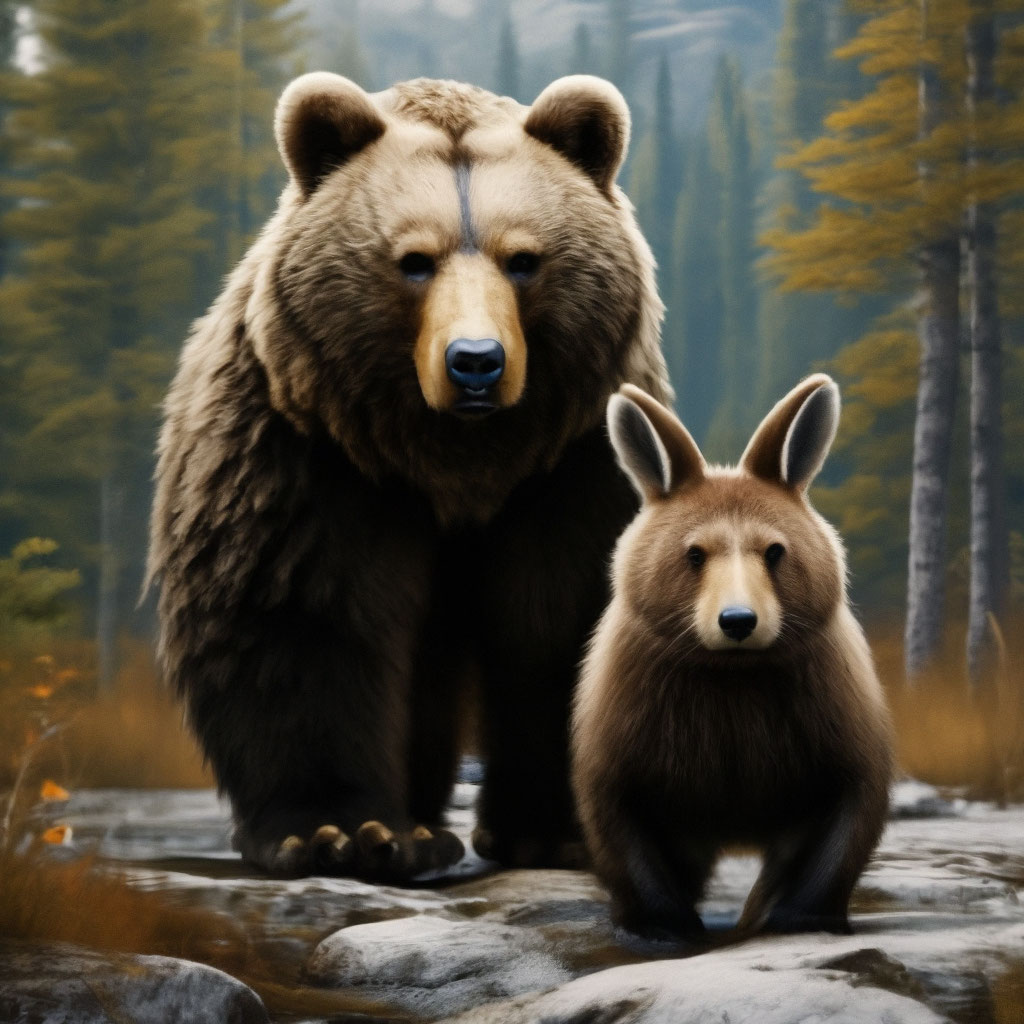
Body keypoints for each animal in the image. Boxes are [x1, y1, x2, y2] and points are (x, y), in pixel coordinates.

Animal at [146, 72, 669, 878]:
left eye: (524, 259)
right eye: (414, 260)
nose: (476, 361)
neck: (455, 459)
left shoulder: (573, 461)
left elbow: (562, 617)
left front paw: (557, 831)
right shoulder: (312, 453)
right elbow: (304, 617)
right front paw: (342, 831)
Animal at [571, 375, 893, 939]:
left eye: (775, 551)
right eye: (694, 554)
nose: (738, 621)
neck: (731, 677)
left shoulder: (826, 707)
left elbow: (848, 813)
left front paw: (798, 915)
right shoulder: (633, 717)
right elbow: (620, 821)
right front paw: (661, 924)